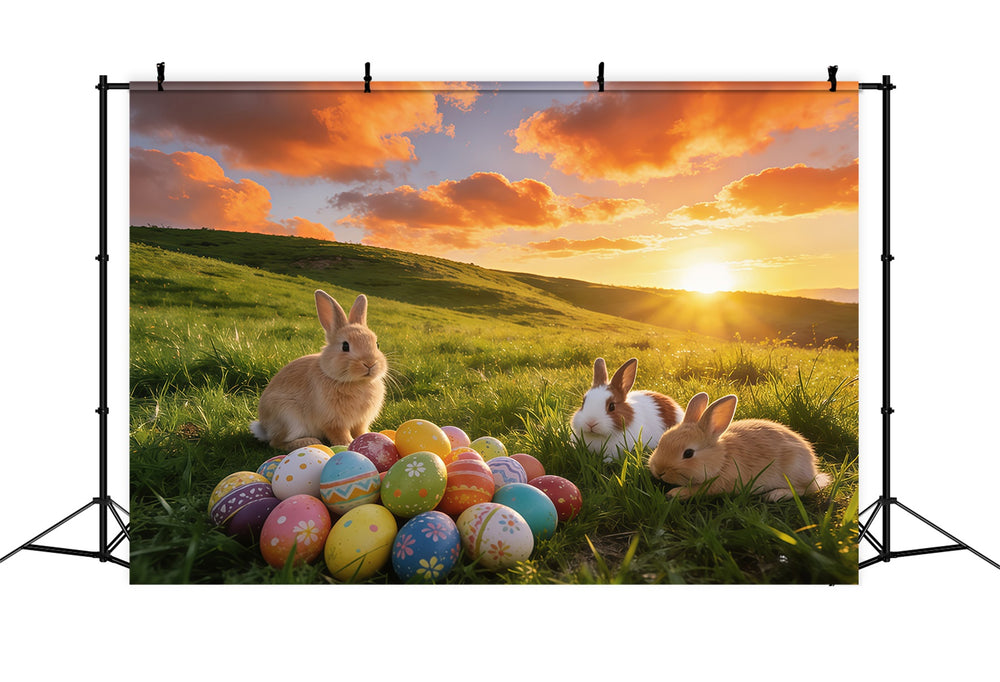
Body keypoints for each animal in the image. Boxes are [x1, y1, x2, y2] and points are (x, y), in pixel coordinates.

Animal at [250, 290, 388, 451]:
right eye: (345, 346)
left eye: (377, 344)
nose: (370, 363)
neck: (357, 382)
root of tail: (264, 428)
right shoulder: (333, 422)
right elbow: (339, 435)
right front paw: (347, 444)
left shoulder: (360, 421)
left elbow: (361, 431)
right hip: (289, 418)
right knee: (276, 442)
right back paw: (309, 442)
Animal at [647, 392, 832, 501]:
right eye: (662, 440)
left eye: (688, 453)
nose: (659, 471)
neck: (722, 459)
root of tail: (812, 468)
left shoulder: (717, 484)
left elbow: (696, 490)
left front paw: (674, 493)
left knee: (806, 489)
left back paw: (775, 495)